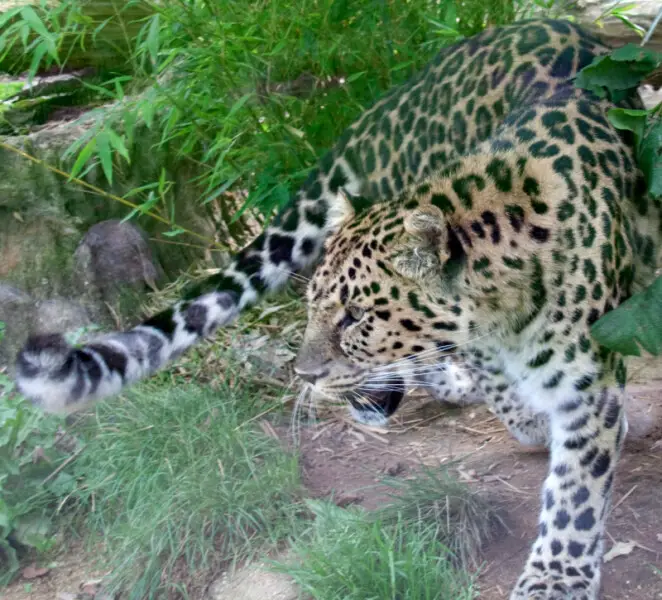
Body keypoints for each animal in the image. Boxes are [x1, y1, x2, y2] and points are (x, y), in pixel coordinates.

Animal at [14, 18, 662, 599]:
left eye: (355, 317)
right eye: (316, 309)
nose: (304, 375)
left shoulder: (590, 379)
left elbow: (577, 495)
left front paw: (556, 576)